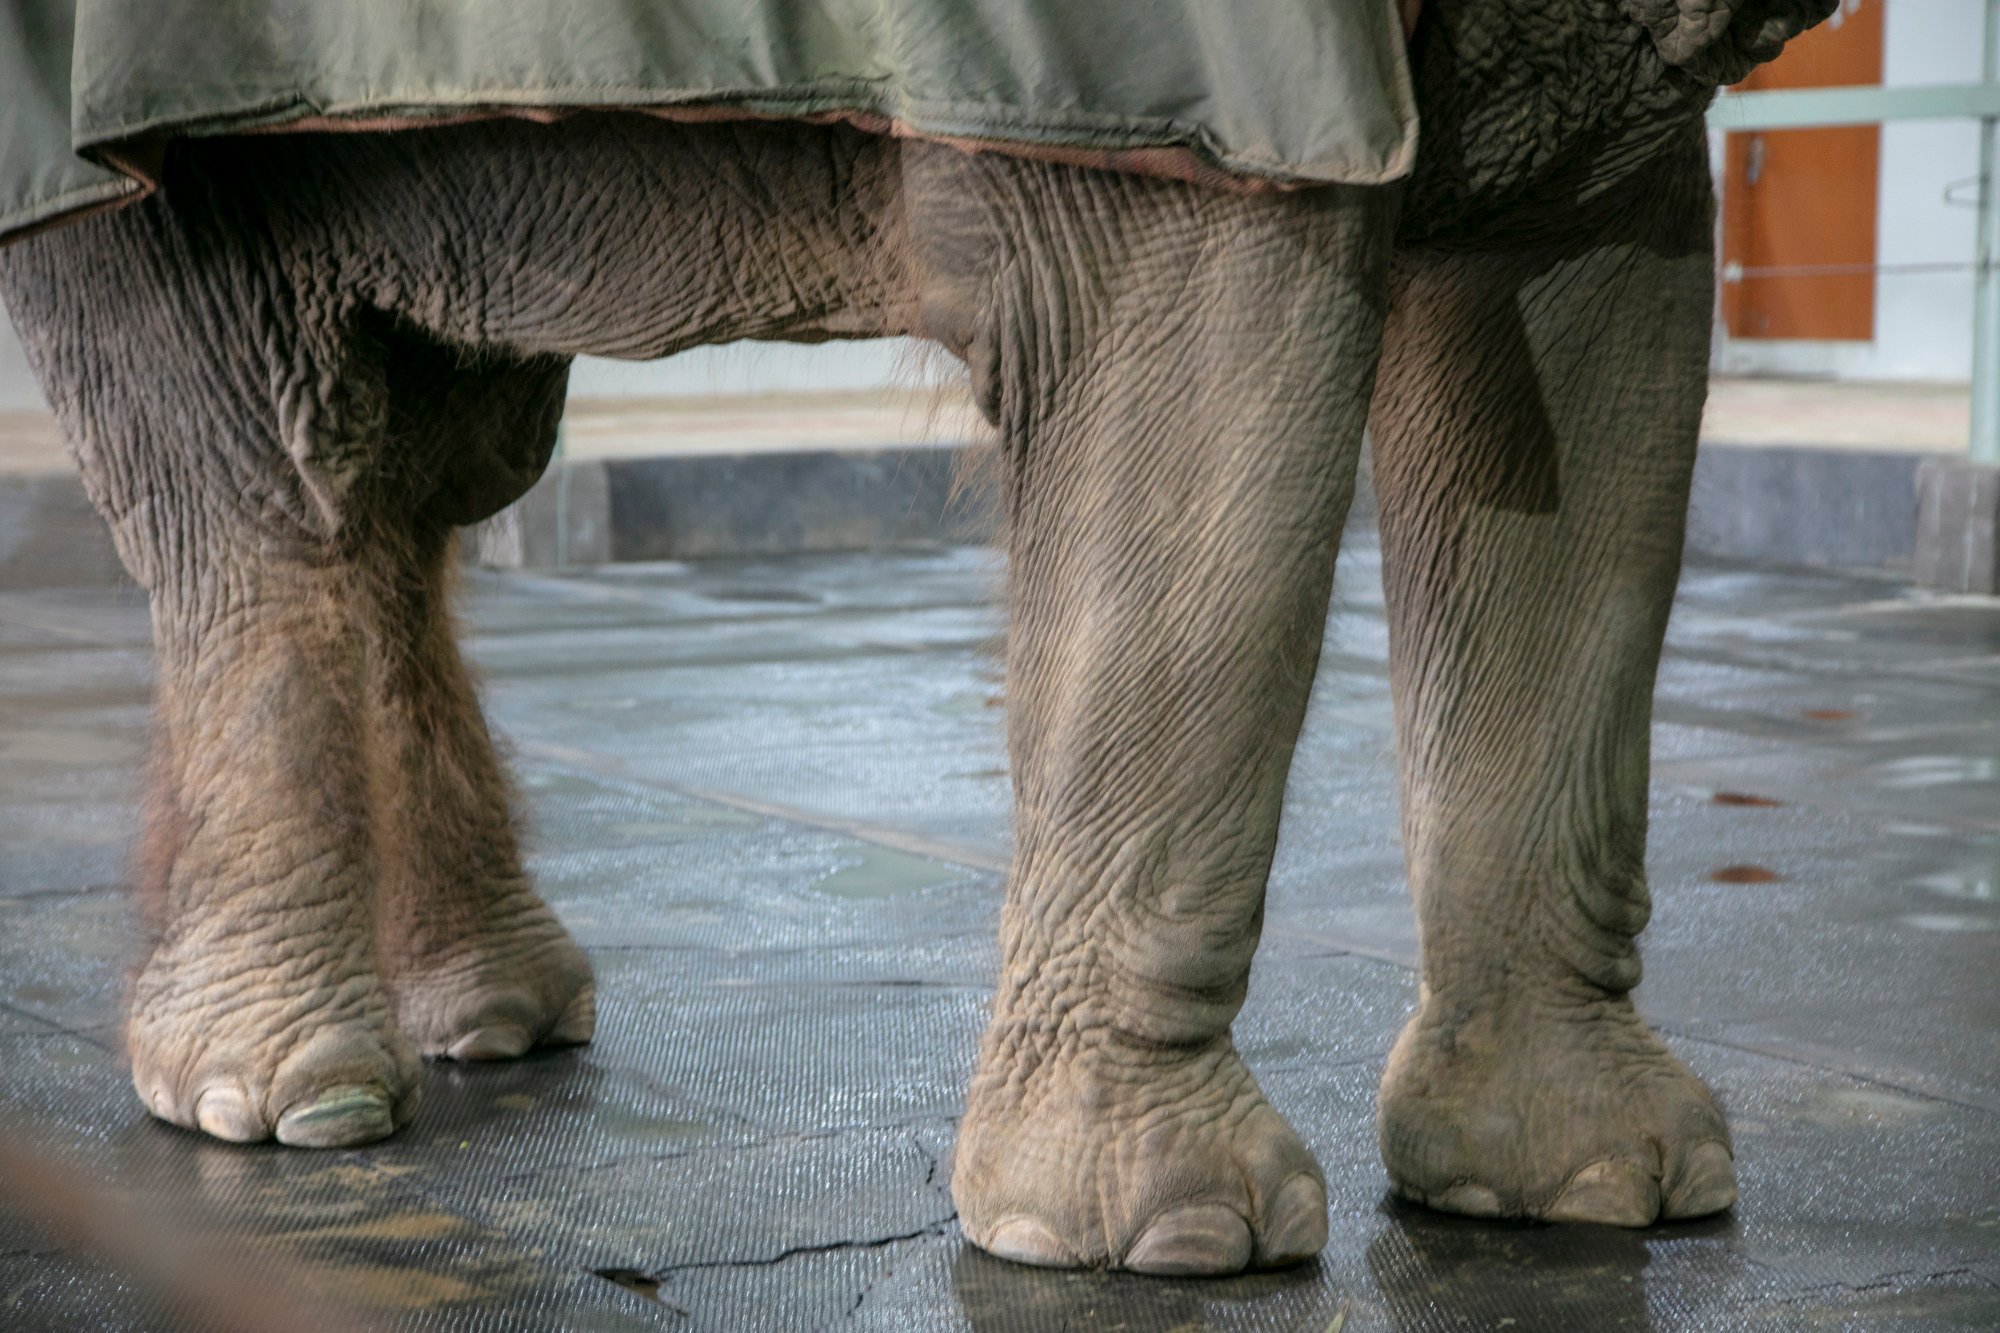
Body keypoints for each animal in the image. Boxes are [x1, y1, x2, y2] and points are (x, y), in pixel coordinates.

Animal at [0, 0, 1832, 1278]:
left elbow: (1593, 363)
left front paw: (1599, 1190)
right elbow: (1204, 365)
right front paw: (1170, 1245)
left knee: (418, 469)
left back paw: (494, 1024)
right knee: (264, 471)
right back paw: (286, 1101)